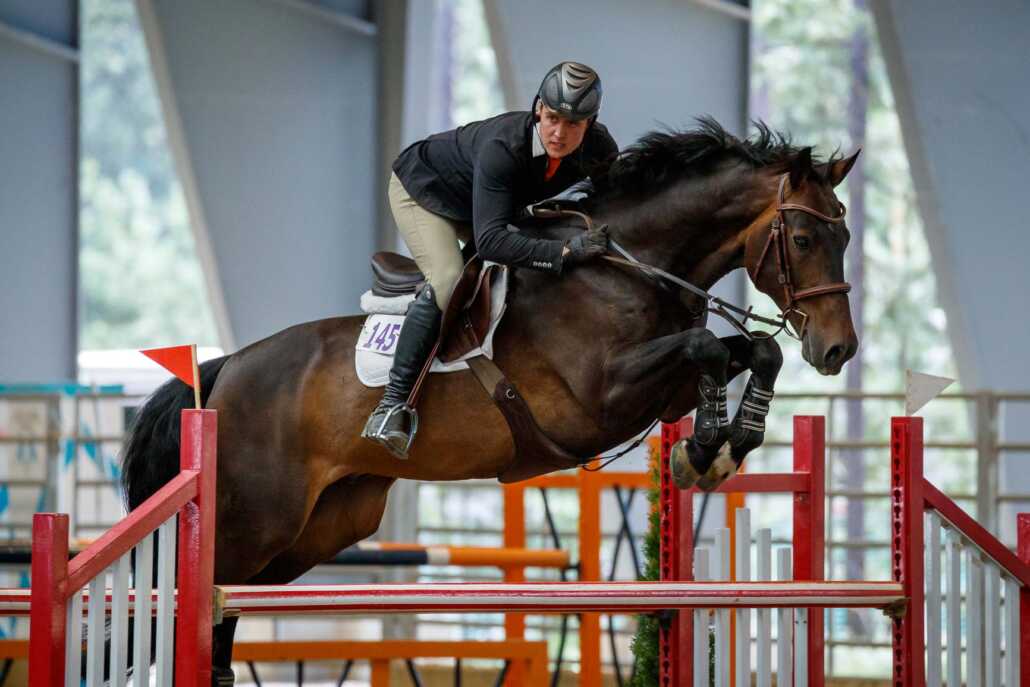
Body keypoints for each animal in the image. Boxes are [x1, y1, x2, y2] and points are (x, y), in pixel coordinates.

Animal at [120, 118, 858, 683]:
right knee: (183, 604)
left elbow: (748, 351)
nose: (839, 350)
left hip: (313, 531)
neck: (626, 269)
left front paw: (720, 447)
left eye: (845, 237)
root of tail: (222, 373)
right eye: (801, 239)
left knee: (221, 615)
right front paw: (705, 450)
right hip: (251, 525)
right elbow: (707, 347)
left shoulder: (661, 381)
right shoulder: (601, 398)